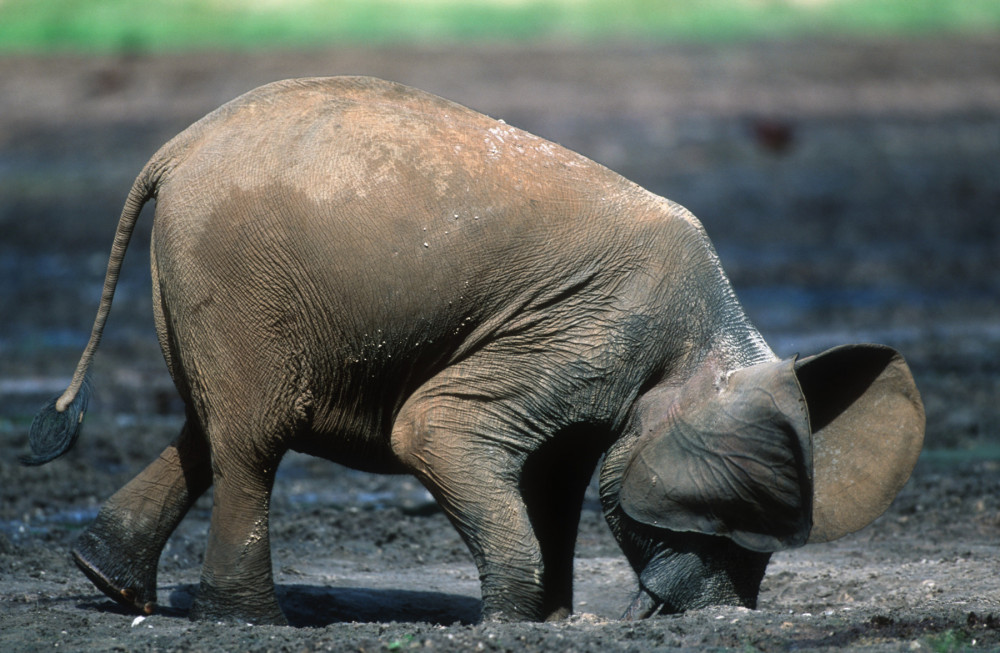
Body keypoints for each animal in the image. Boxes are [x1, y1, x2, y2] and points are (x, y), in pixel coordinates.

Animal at [22, 76, 924, 625]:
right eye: (723, 528)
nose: (708, 618)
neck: (712, 344)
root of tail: (176, 148)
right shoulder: (596, 332)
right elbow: (434, 429)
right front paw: (512, 620)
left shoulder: (589, 358)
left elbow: (557, 477)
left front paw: (552, 620)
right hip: (240, 273)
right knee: (251, 439)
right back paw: (253, 620)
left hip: (213, 282)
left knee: (209, 429)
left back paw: (107, 579)